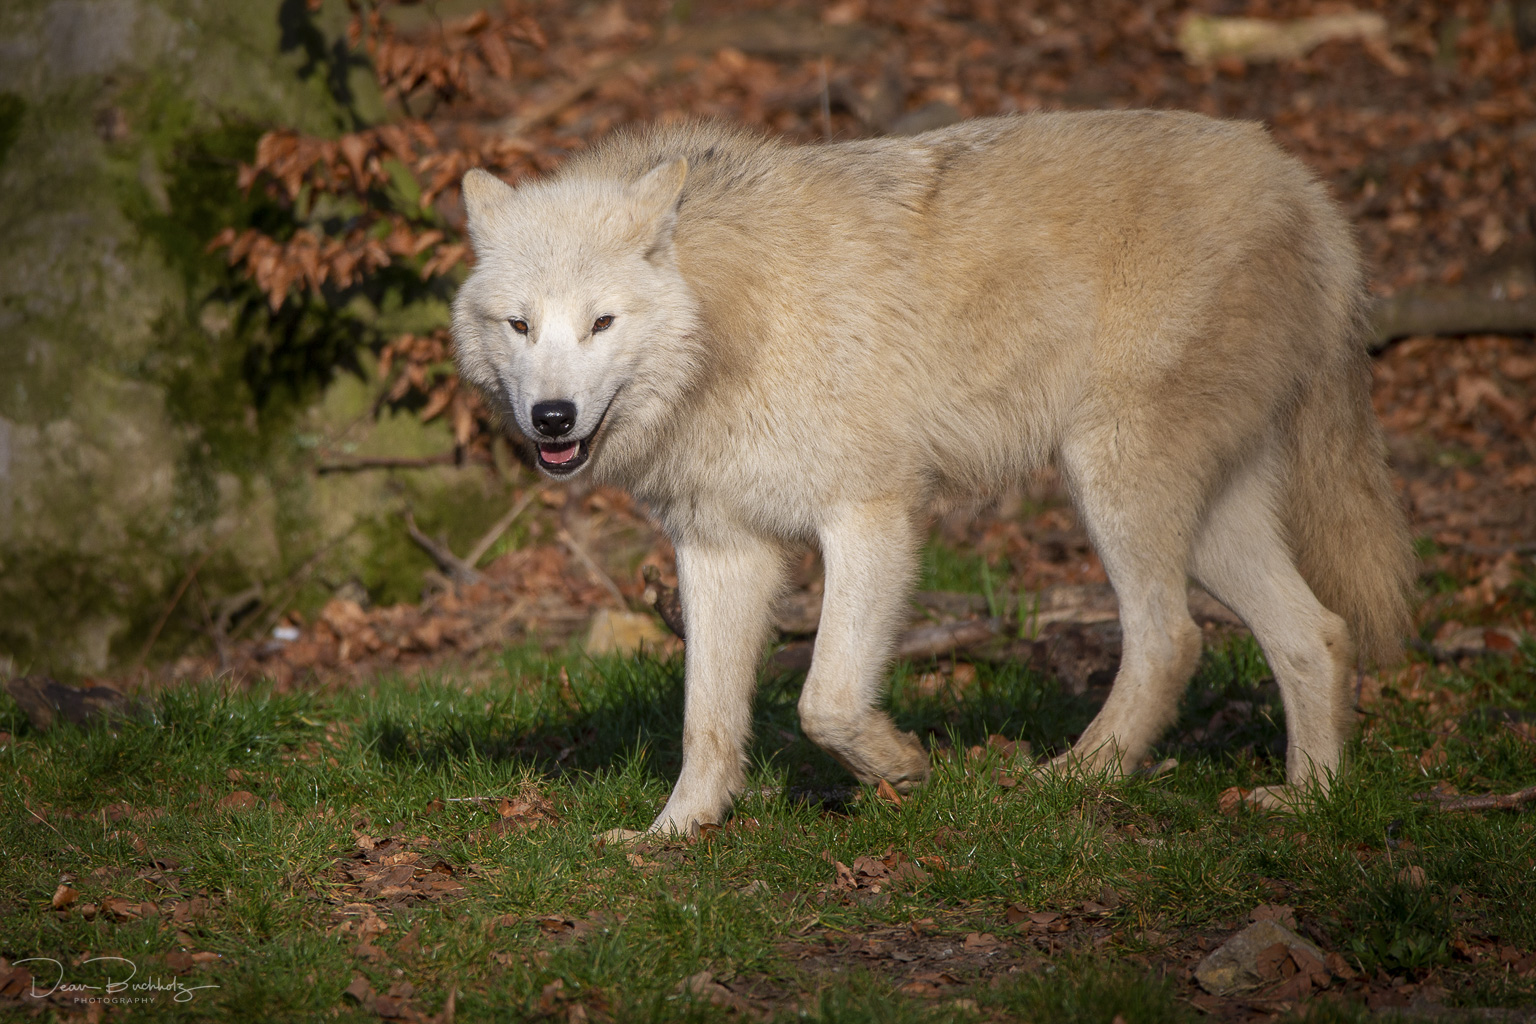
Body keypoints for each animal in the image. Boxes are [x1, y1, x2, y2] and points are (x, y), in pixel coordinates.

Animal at [452, 111, 1414, 835]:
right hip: (1203, 520)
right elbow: (707, 721)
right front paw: (674, 834)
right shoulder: (722, 546)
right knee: (1318, 633)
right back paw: (1309, 801)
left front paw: (904, 768)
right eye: (520, 325)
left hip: (1112, 482)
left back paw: (1071, 780)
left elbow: (825, 700)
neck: (732, 322)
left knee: (1171, 639)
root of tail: (1309, 192)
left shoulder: (871, 515)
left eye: (601, 323)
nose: (551, 419)